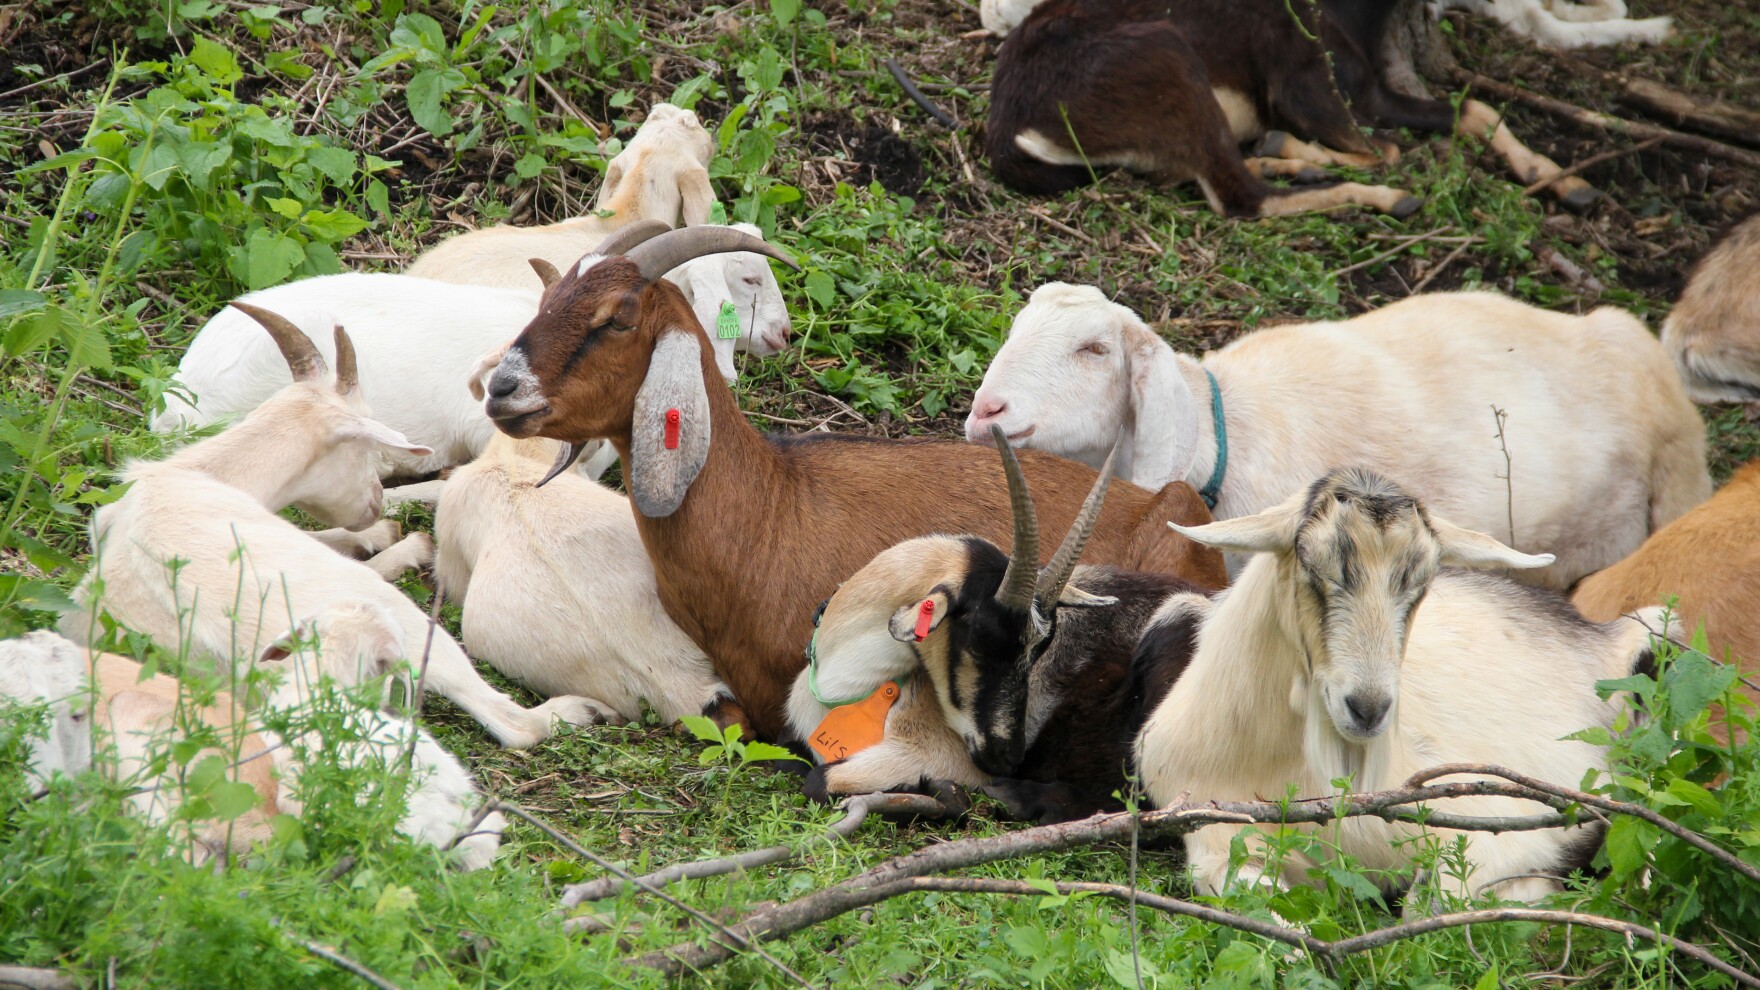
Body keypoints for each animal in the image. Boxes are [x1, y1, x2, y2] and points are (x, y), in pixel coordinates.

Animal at [79, 304, 606, 750]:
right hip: (397, 619)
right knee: (512, 724)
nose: (374, 503)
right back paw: (579, 711)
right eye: (368, 445)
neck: (201, 473)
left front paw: (377, 536)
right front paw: (404, 543)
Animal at [788, 431, 1205, 823]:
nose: (1008, 756)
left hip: (1175, 627)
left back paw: (1019, 797)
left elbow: (819, 781)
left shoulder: (929, 754)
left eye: (1040, 649)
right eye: (981, 639)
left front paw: (939, 792)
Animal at [986, 0, 1597, 214]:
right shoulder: (1317, 84)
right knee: (1242, 200)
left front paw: (1567, 183)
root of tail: (1014, 134)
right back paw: (1388, 200)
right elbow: (1397, 146)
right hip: (1170, 57)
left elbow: (1471, 111)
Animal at [1137, 468, 1662, 908]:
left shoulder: (1497, 827)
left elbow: (1433, 901)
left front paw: (1534, 890)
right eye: (1311, 565)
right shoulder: (1211, 829)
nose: (1368, 709)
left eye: (1421, 582)